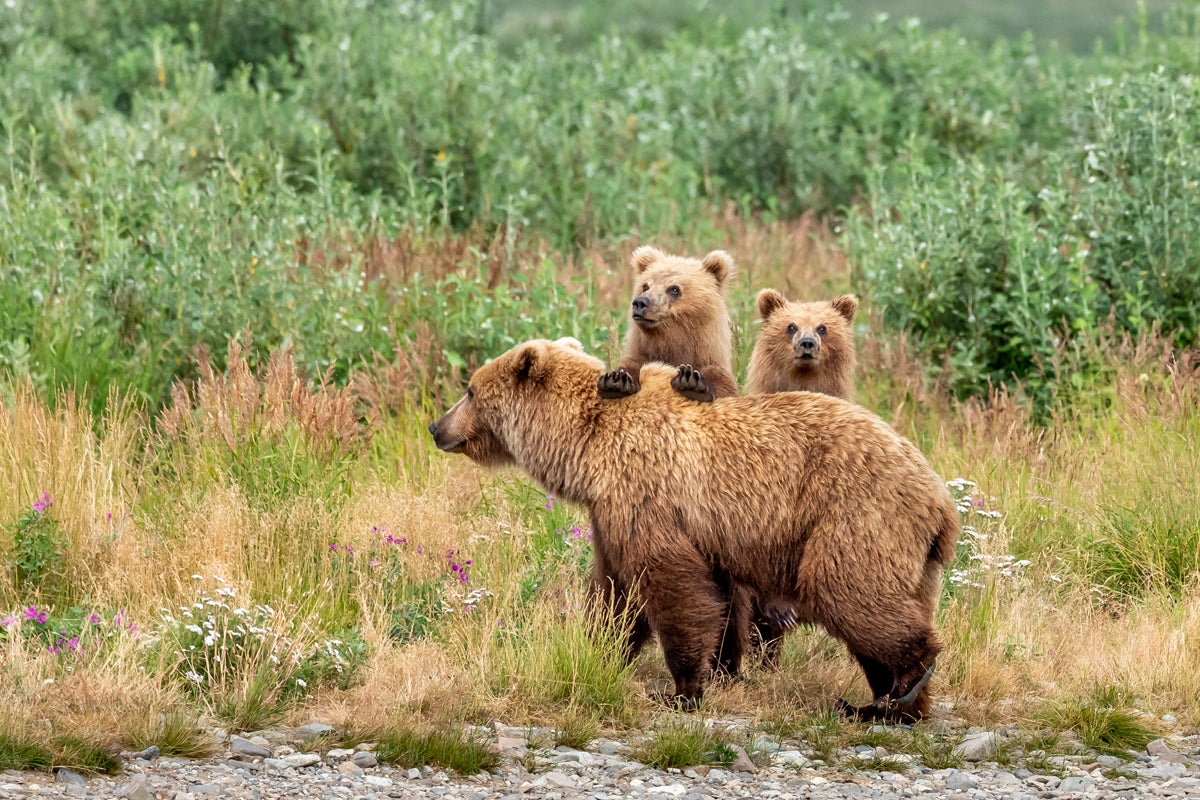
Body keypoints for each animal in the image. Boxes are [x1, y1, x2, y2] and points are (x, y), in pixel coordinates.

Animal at [429, 338, 958, 720]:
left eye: (470, 389)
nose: (437, 427)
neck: (586, 447)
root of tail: (941, 499)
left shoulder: (646, 490)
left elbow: (671, 585)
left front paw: (683, 687)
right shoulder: (612, 511)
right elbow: (617, 592)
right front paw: (598, 650)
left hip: (856, 514)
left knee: (847, 590)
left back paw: (906, 680)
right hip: (912, 554)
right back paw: (888, 704)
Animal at [597, 245, 739, 404]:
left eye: (674, 289)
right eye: (645, 286)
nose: (640, 303)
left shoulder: (709, 359)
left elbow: (720, 383)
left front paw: (691, 382)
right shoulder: (641, 354)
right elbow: (630, 367)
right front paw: (617, 380)